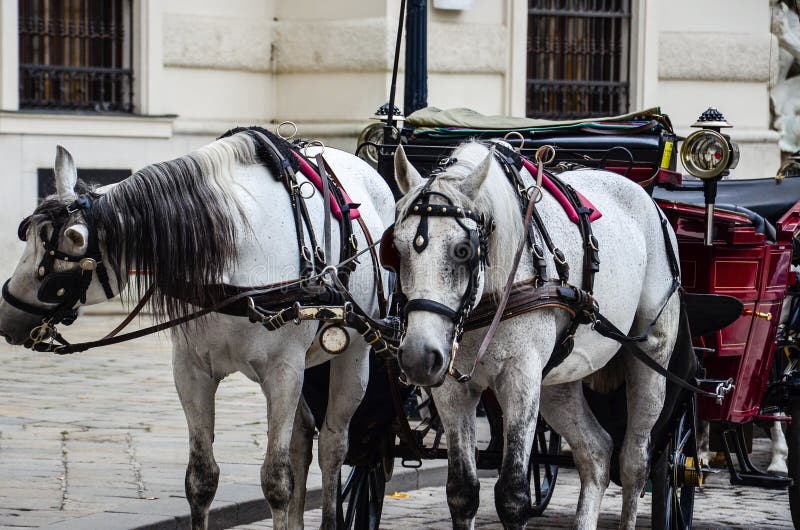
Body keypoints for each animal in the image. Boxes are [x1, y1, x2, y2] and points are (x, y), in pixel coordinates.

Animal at [0, 130, 394, 530]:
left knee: (332, 446)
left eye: (49, 268)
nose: (6, 316)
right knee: (302, 438)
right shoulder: (191, 370)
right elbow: (202, 478)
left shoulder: (284, 370)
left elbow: (276, 480)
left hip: (354, 354)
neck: (234, 259)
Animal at [389, 141, 682, 529]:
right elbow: (462, 491)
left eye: (463, 250)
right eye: (396, 248)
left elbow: (513, 494)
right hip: (558, 380)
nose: (418, 357)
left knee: (634, 462)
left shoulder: (520, 378)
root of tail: (647, 197)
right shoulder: (452, 388)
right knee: (597, 452)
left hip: (649, 361)